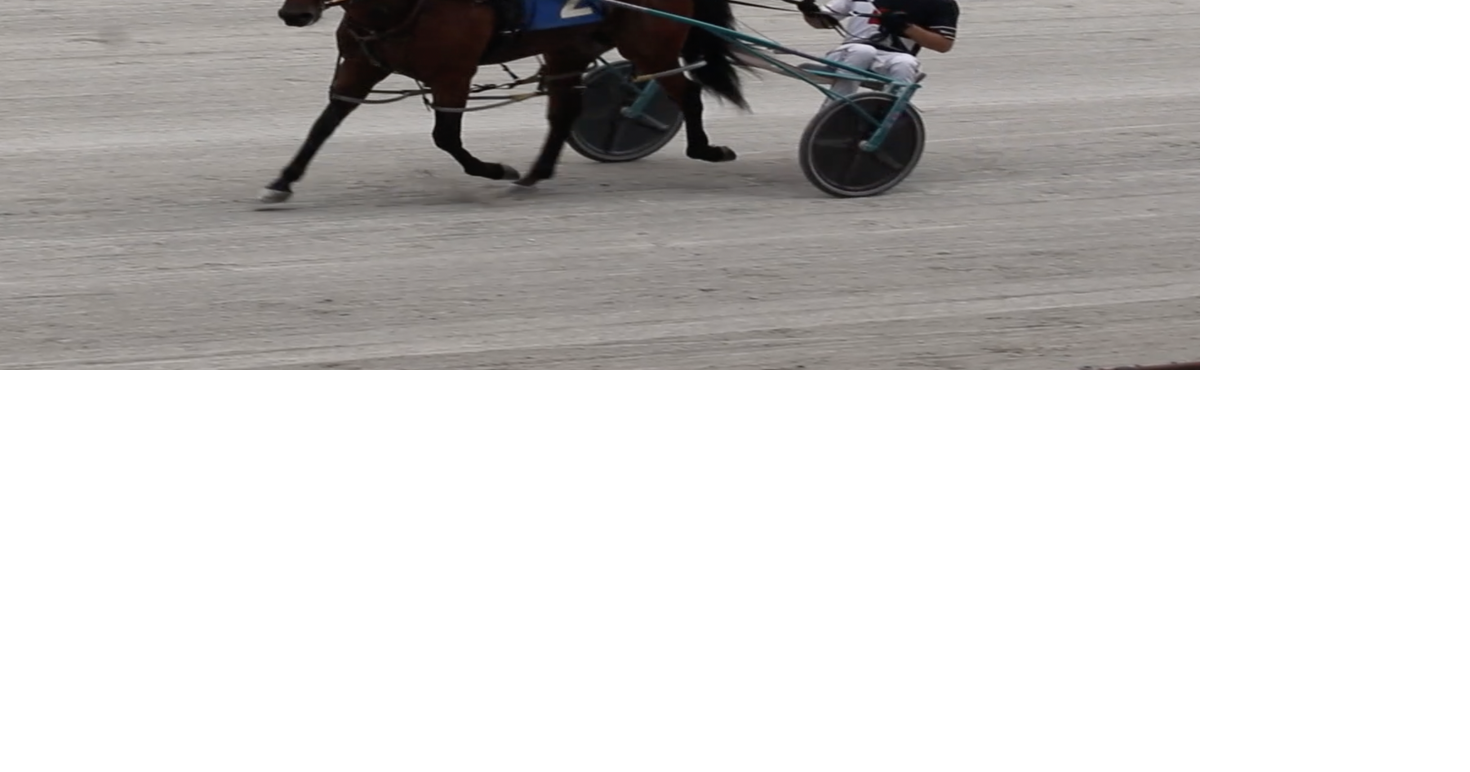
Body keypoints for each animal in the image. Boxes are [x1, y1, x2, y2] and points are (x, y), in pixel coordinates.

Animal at [262, 0, 750, 203]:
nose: (294, 14)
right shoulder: (361, 67)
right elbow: (324, 124)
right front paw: (283, 180)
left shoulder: (453, 74)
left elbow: (446, 137)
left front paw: (496, 169)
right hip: (568, 46)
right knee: (565, 112)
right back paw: (535, 175)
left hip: (650, 44)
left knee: (687, 92)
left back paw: (706, 149)